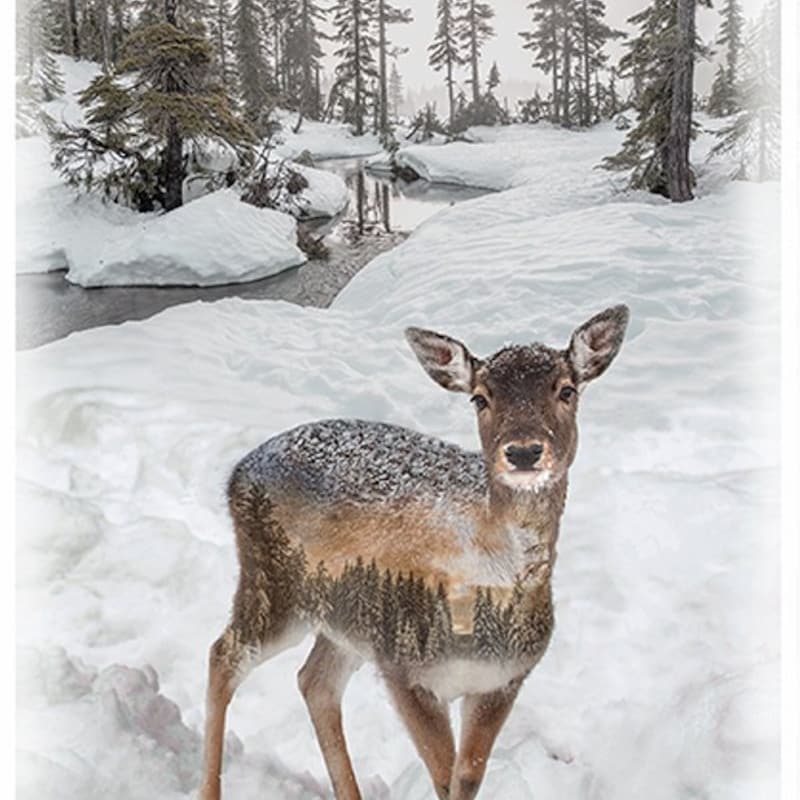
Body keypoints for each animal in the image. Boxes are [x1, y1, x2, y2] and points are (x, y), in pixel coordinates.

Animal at [200, 304, 630, 800]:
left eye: (566, 389)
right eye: (480, 398)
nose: (523, 452)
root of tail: (238, 471)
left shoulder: (506, 677)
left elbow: (468, 774)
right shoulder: (404, 666)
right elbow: (445, 777)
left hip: (348, 616)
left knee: (314, 681)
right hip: (275, 583)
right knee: (224, 654)